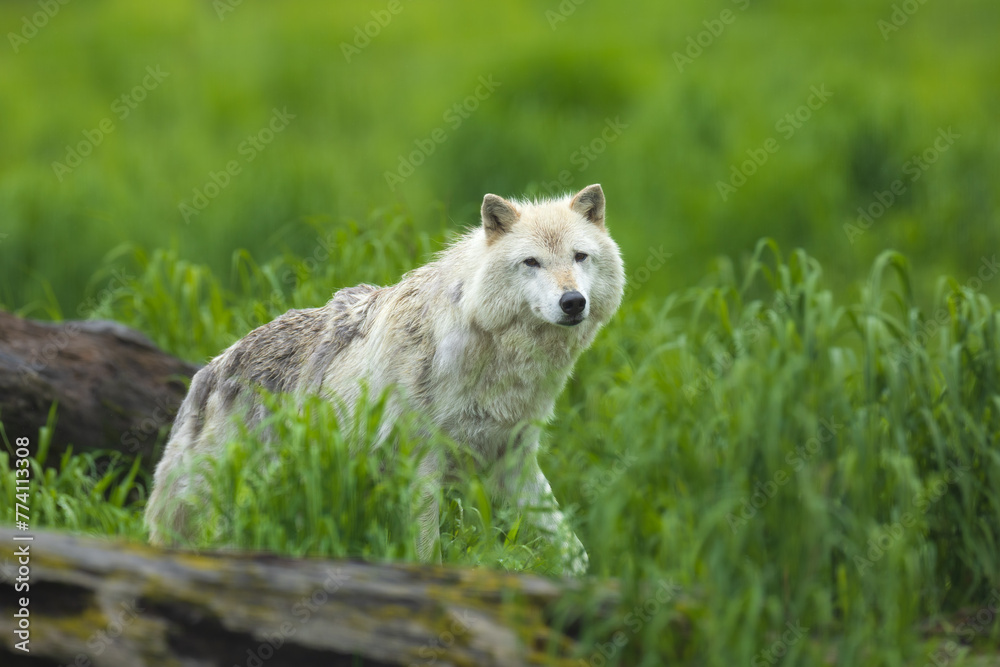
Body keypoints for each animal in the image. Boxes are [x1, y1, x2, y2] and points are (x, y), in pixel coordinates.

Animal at [145, 184, 625, 575]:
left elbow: (574, 549)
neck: (497, 360)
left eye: (579, 257)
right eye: (532, 262)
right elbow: (429, 551)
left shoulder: (514, 462)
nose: (572, 302)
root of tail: (212, 367)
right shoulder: (423, 464)